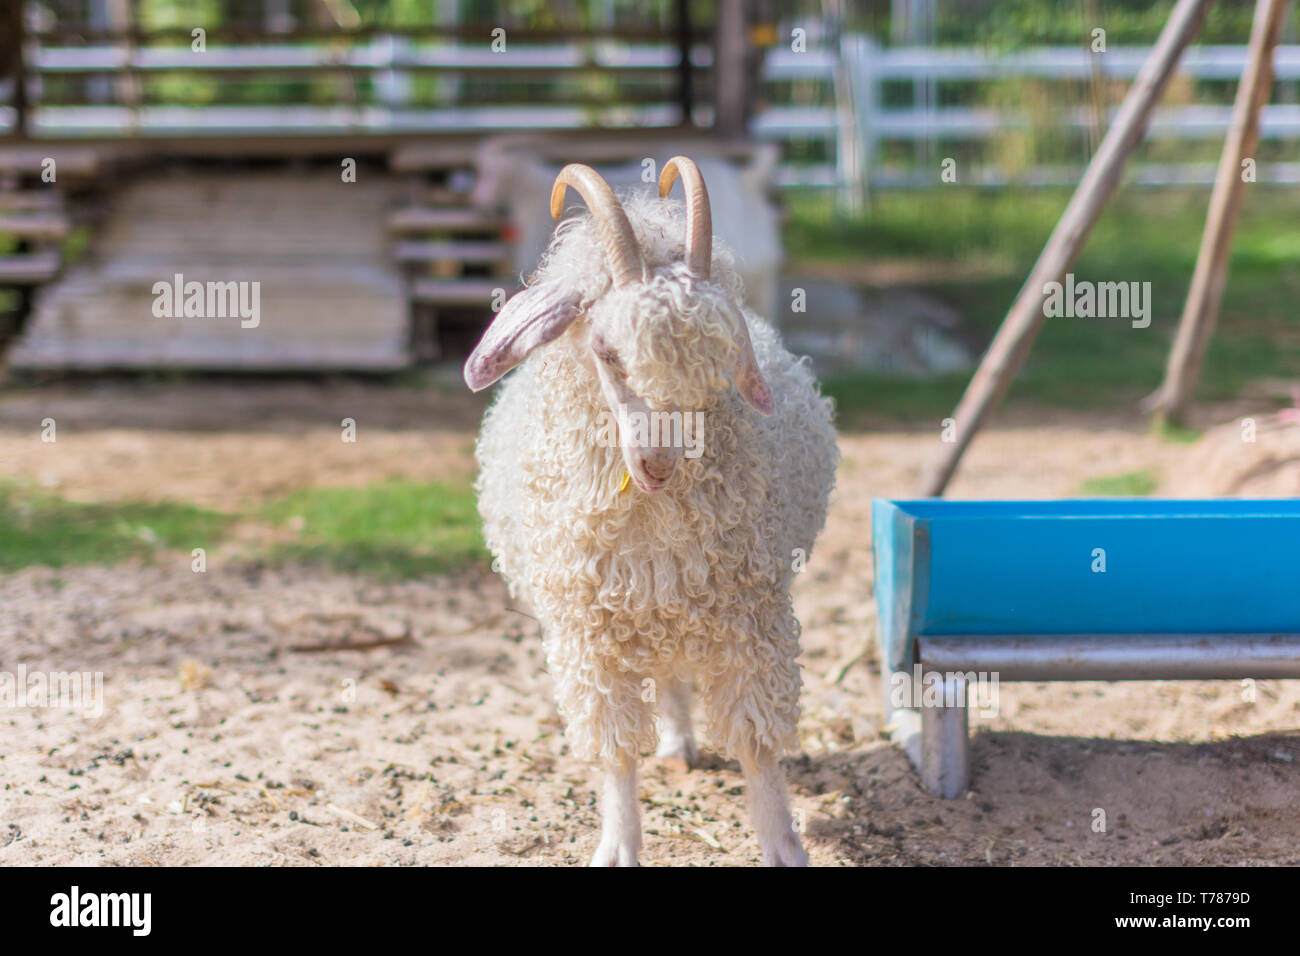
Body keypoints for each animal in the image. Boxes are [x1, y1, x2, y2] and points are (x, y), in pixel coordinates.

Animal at [464, 159, 837, 866]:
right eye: (608, 352)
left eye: (717, 366)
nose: (660, 462)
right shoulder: (588, 631)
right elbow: (612, 750)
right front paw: (618, 845)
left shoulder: (750, 612)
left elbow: (756, 741)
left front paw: (782, 843)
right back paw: (675, 744)